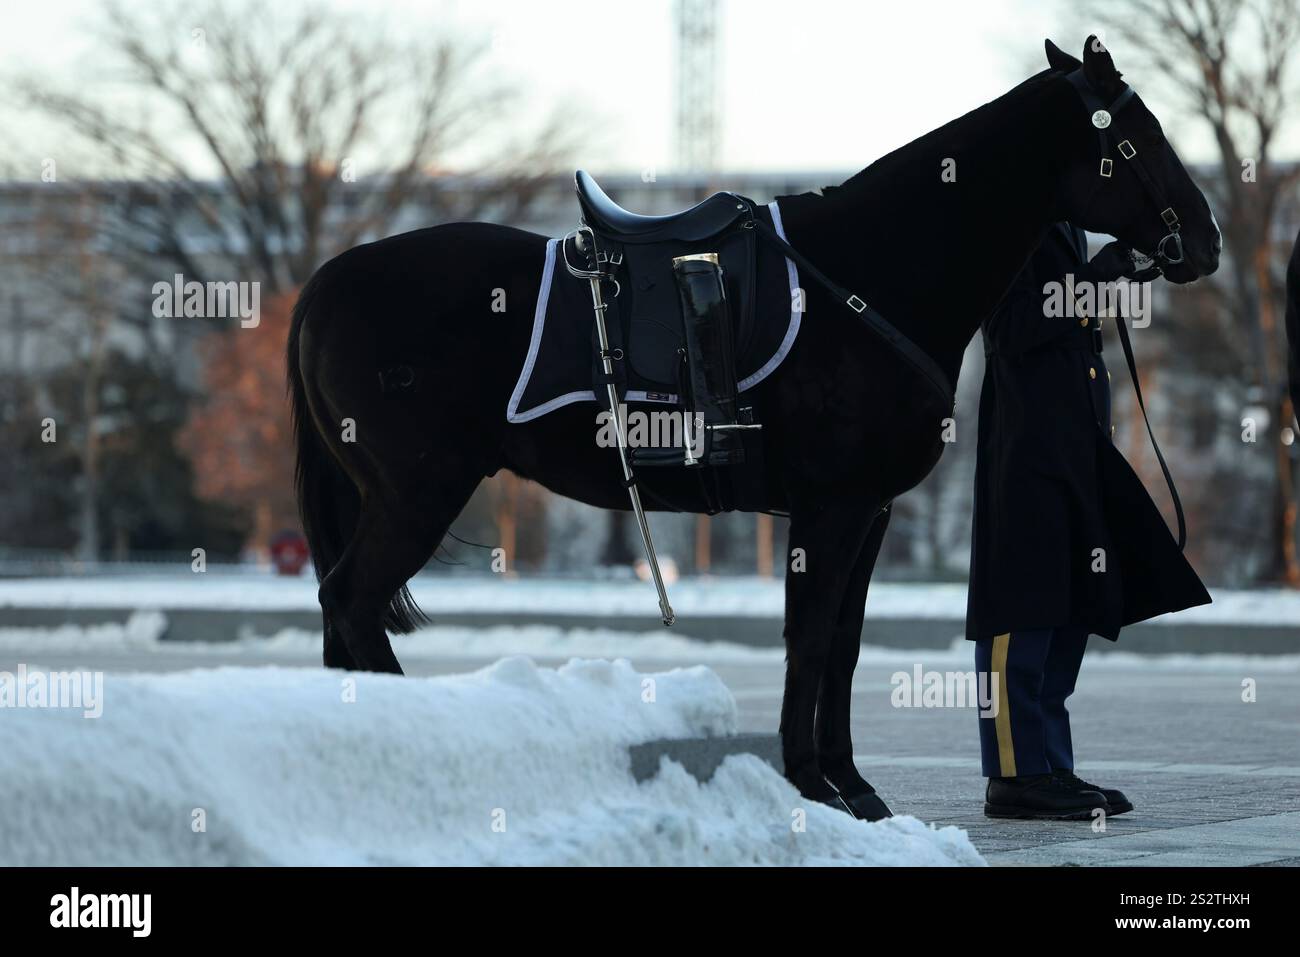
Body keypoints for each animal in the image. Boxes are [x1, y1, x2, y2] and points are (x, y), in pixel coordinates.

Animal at [286, 38, 1221, 818]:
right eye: (1138, 138)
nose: (1209, 240)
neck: (866, 275)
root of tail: (328, 275)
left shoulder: (868, 512)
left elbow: (842, 644)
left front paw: (850, 782)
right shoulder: (831, 509)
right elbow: (808, 638)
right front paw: (811, 782)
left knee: (345, 609)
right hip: (417, 492)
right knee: (352, 601)